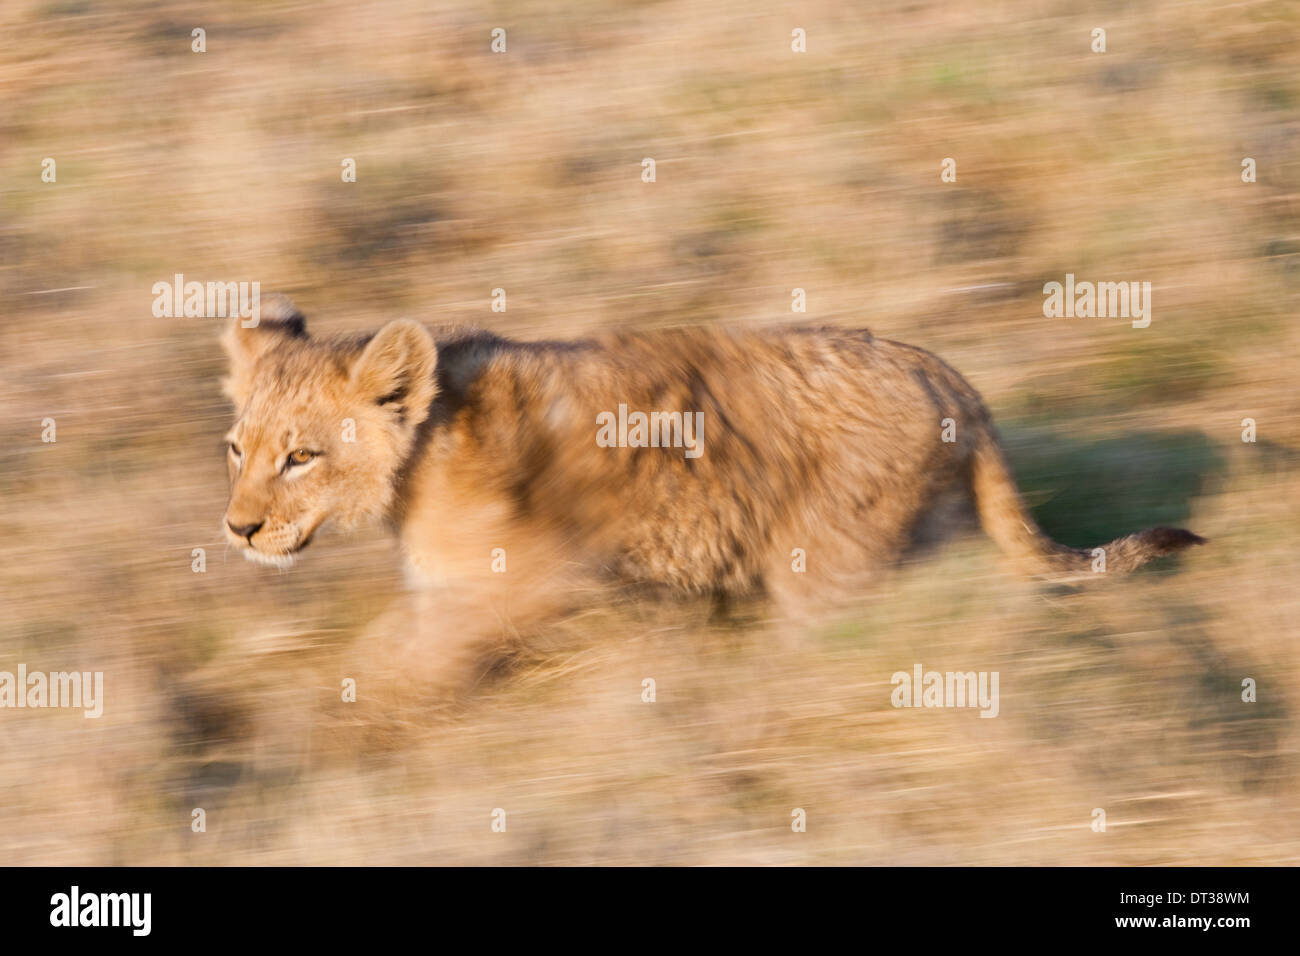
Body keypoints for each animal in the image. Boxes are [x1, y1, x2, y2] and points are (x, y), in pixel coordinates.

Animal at [220, 300, 1204, 686]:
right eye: (237, 449)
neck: (416, 462)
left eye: (301, 457)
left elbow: (403, 672)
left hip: (823, 564)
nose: (237, 530)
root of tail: (944, 372)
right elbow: (387, 649)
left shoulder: (532, 583)